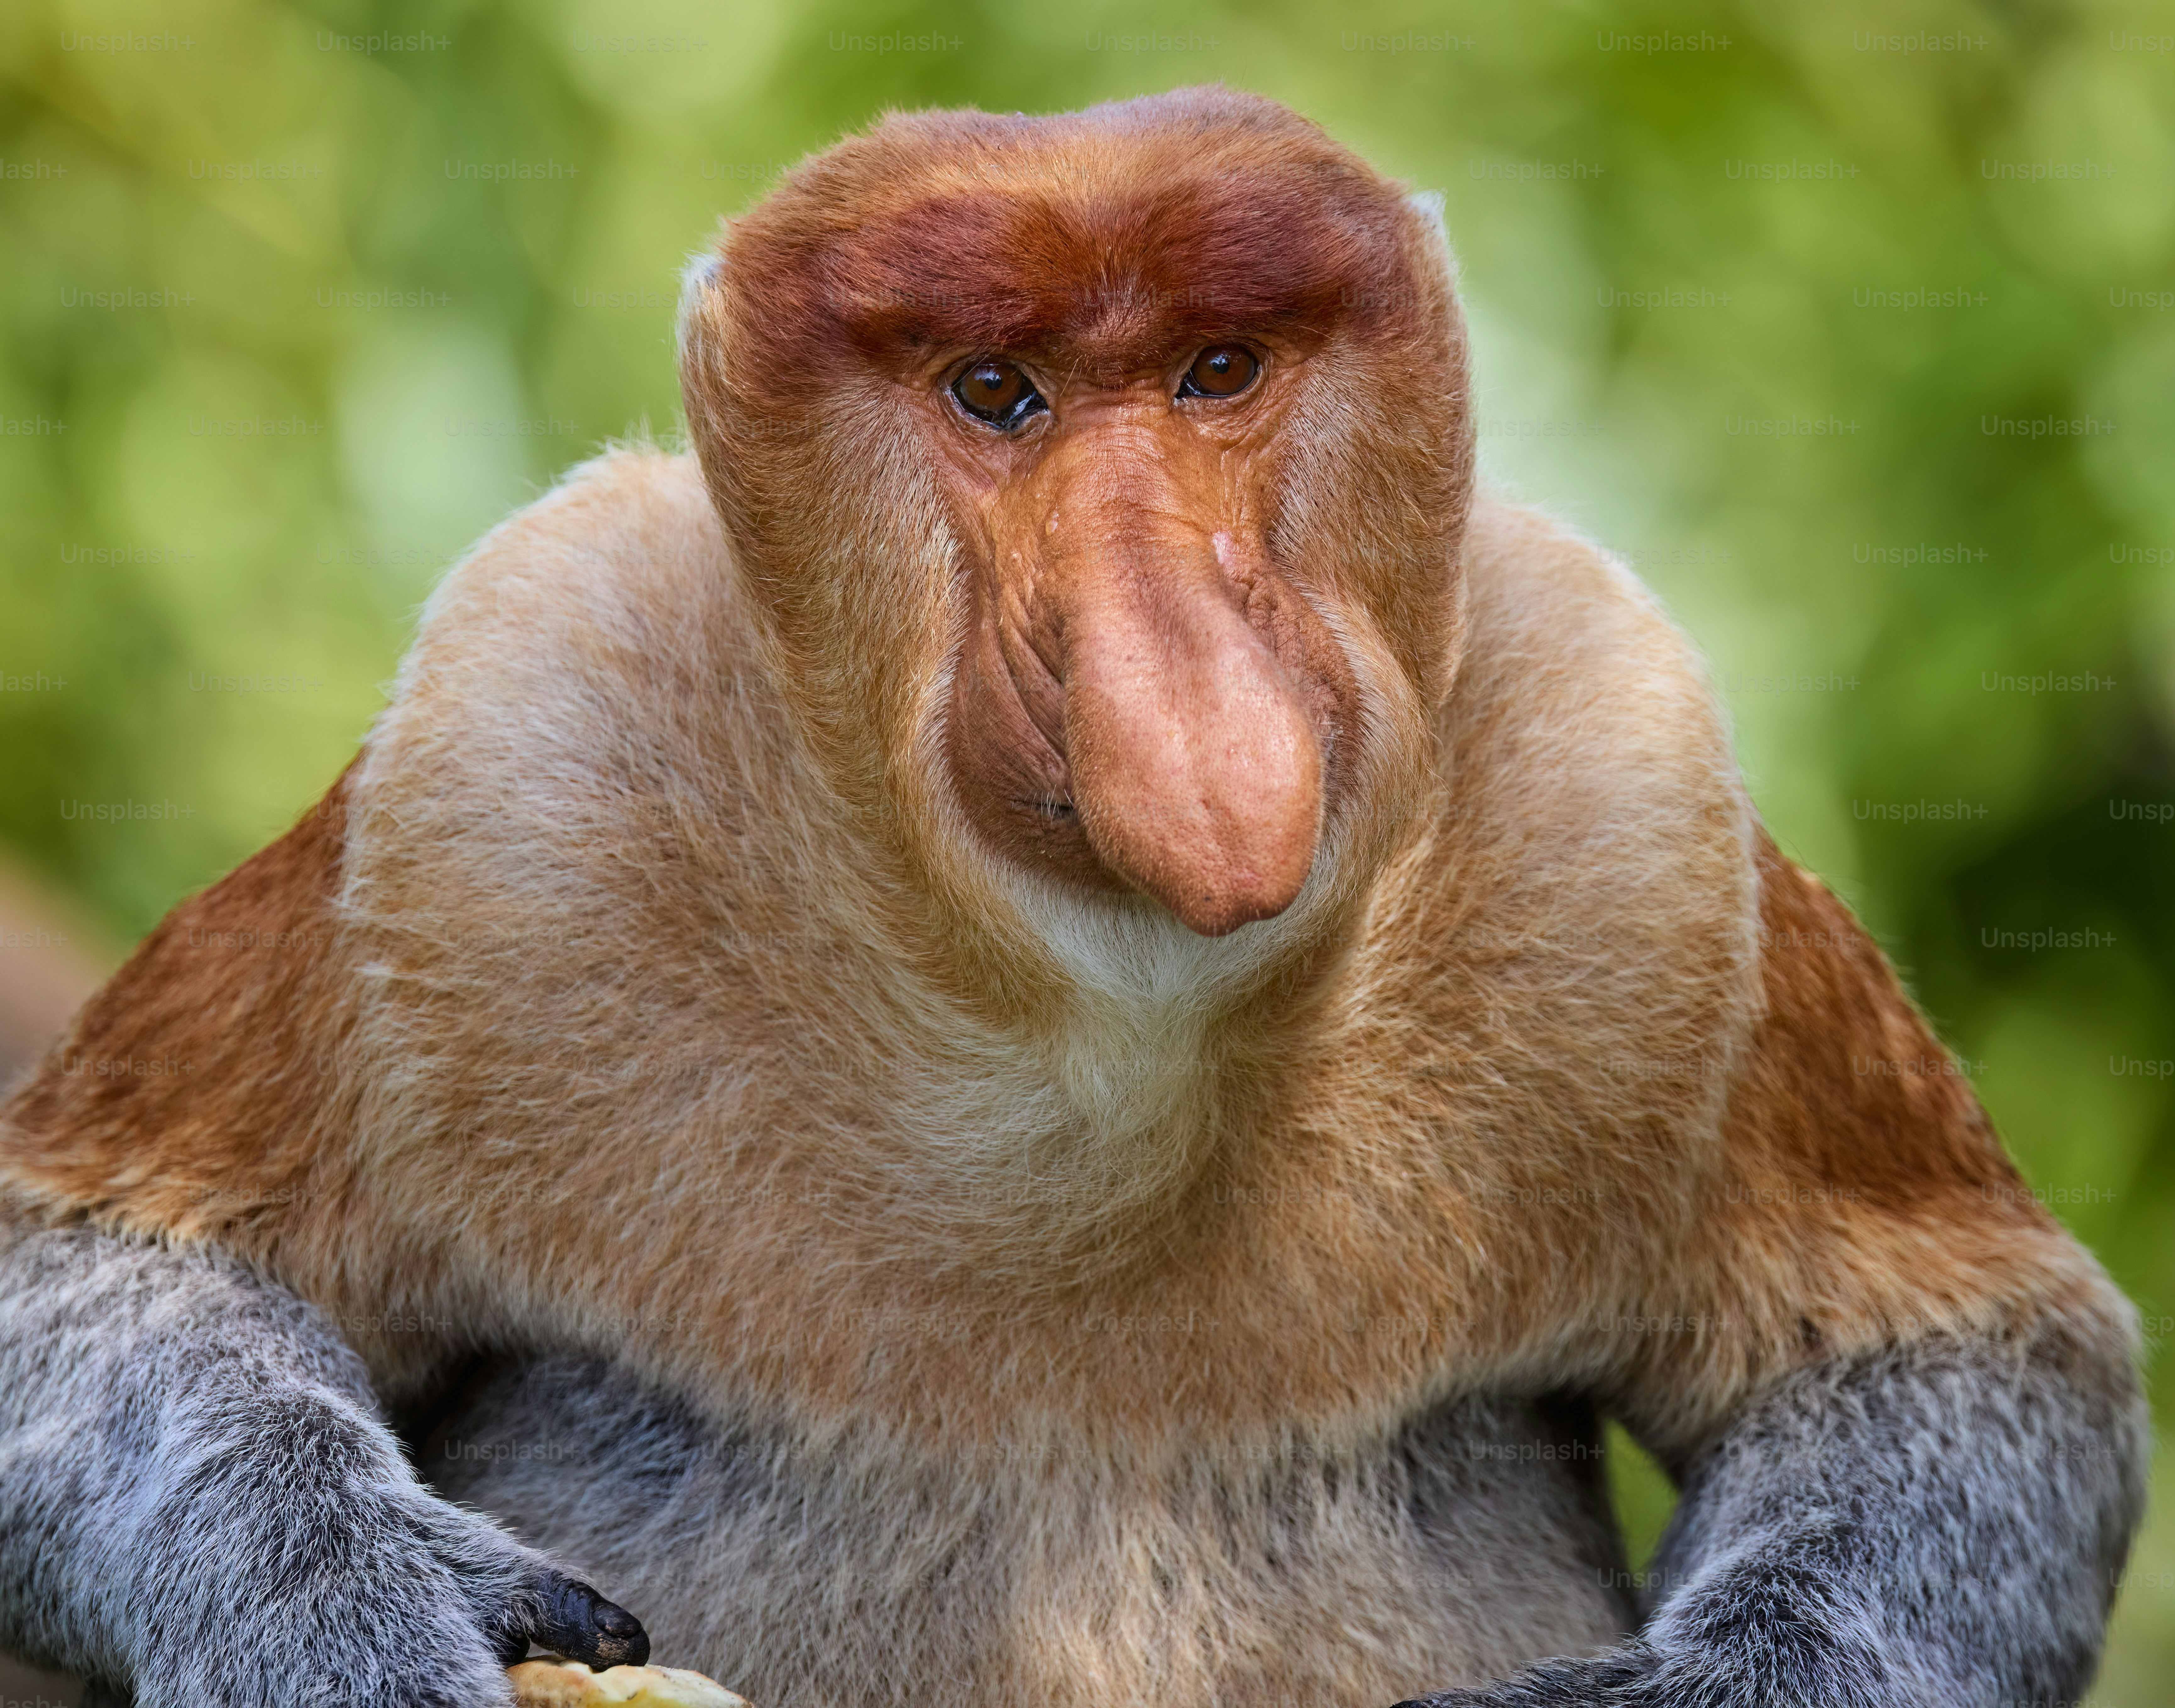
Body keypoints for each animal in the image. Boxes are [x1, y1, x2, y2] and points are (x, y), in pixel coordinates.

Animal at [0, 87, 2145, 1708]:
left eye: (1216, 372)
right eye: (996, 392)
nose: (1175, 653)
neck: (1097, 1016)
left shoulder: (1629, 792)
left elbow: (1971, 1358)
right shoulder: (488, 766)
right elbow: (92, 1260)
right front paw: (358, 1613)